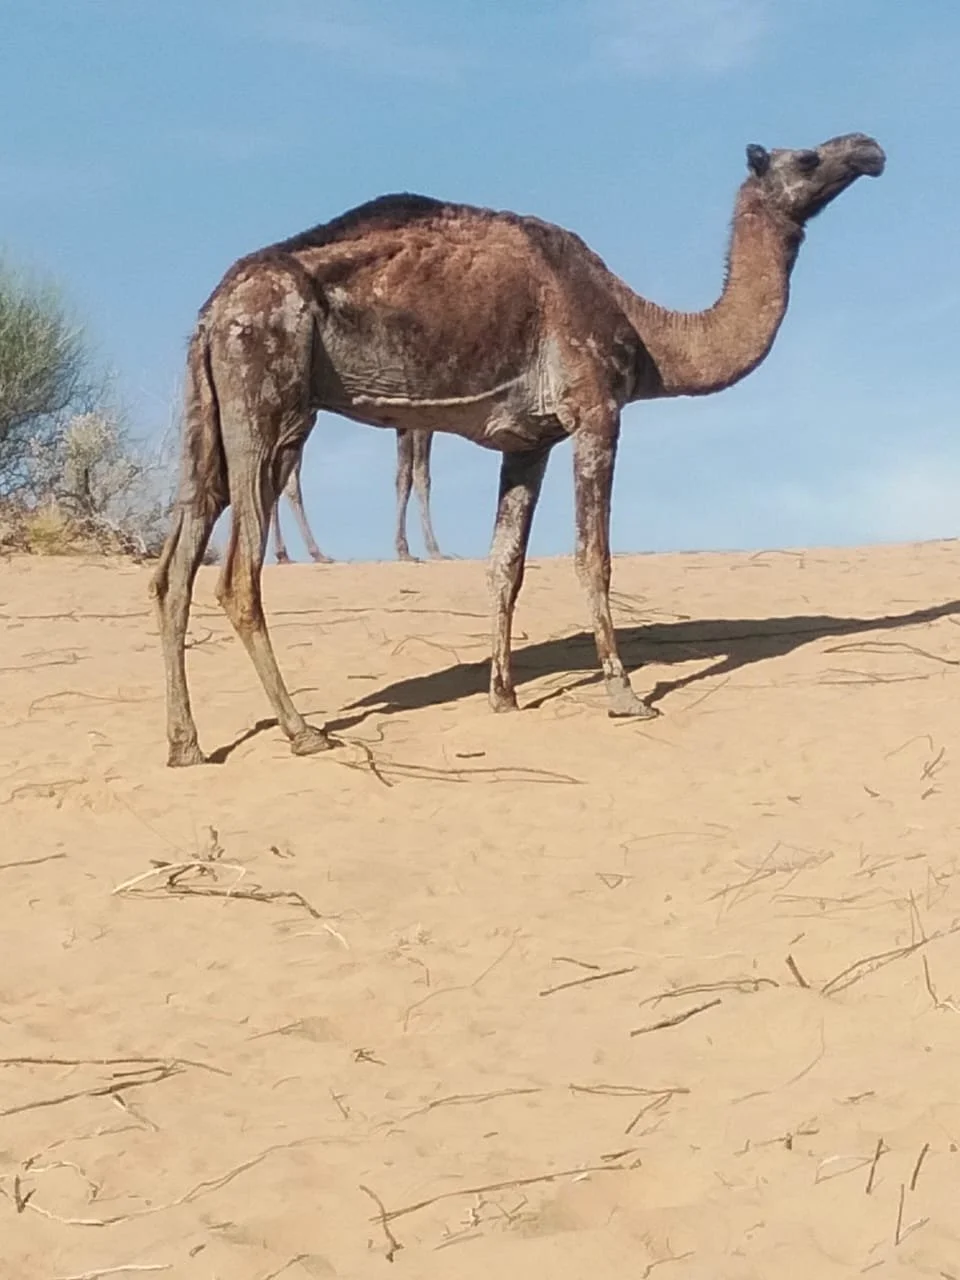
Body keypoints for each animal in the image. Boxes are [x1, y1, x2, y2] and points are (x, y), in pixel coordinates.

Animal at [269, 427, 442, 564]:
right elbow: (419, 473)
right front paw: (433, 550)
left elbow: (403, 475)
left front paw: (404, 550)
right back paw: (314, 553)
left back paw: (287, 555)